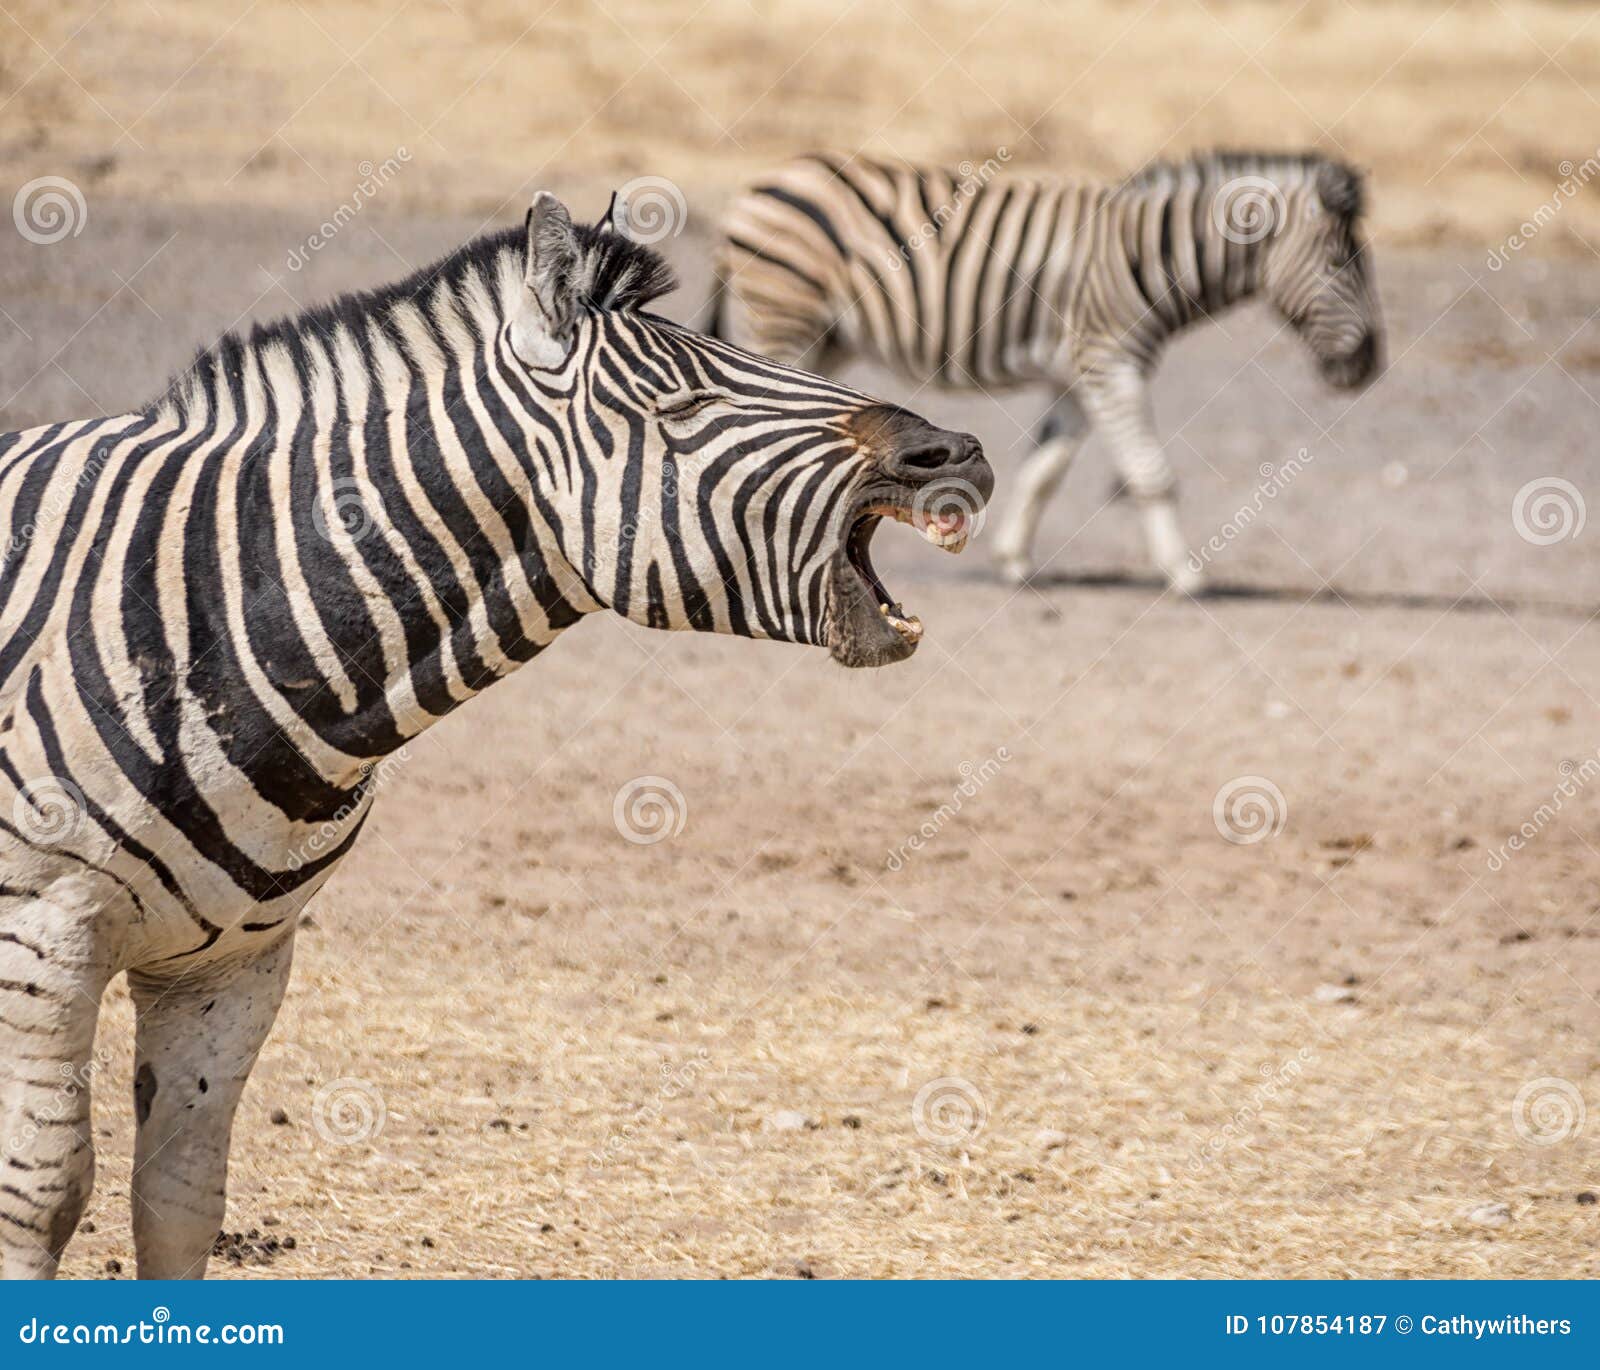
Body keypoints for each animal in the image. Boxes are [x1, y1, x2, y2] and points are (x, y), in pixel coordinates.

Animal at [0, 190, 990, 1279]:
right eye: (684, 408)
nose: (957, 454)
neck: (221, 614)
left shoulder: (232, 965)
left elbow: (180, 1196)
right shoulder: (43, 940)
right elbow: (42, 1194)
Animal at [710, 150, 1382, 592]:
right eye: (1340, 263)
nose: (1370, 366)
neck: (1154, 253)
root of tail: (765, 181)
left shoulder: (1078, 375)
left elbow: (1044, 471)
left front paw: (1011, 560)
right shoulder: (1112, 359)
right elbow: (1150, 474)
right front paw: (1186, 573)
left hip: (825, 338)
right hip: (784, 316)